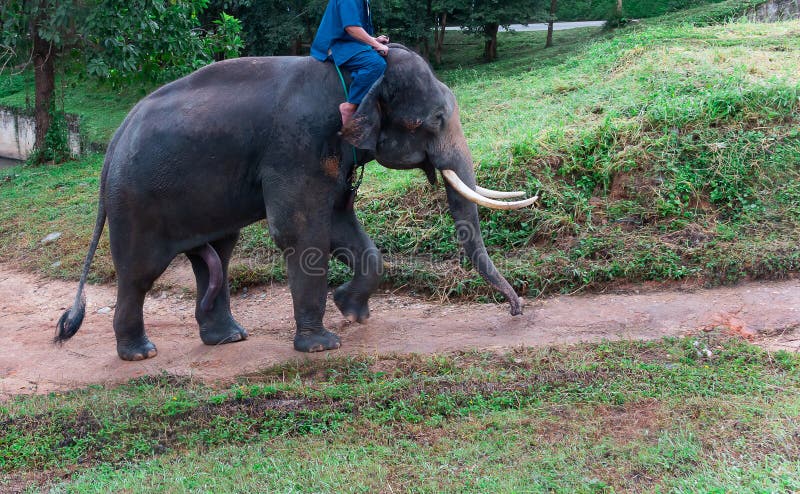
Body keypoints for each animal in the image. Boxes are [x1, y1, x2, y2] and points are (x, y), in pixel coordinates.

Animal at [55, 44, 536, 361]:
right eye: (433, 120)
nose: (517, 311)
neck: (355, 73)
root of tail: (113, 143)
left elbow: (344, 228)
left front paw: (352, 312)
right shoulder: (299, 145)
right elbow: (301, 232)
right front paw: (323, 345)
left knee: (216, 256)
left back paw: (228, 338)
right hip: (134, 201)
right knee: (139, 271)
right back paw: (141, 353)